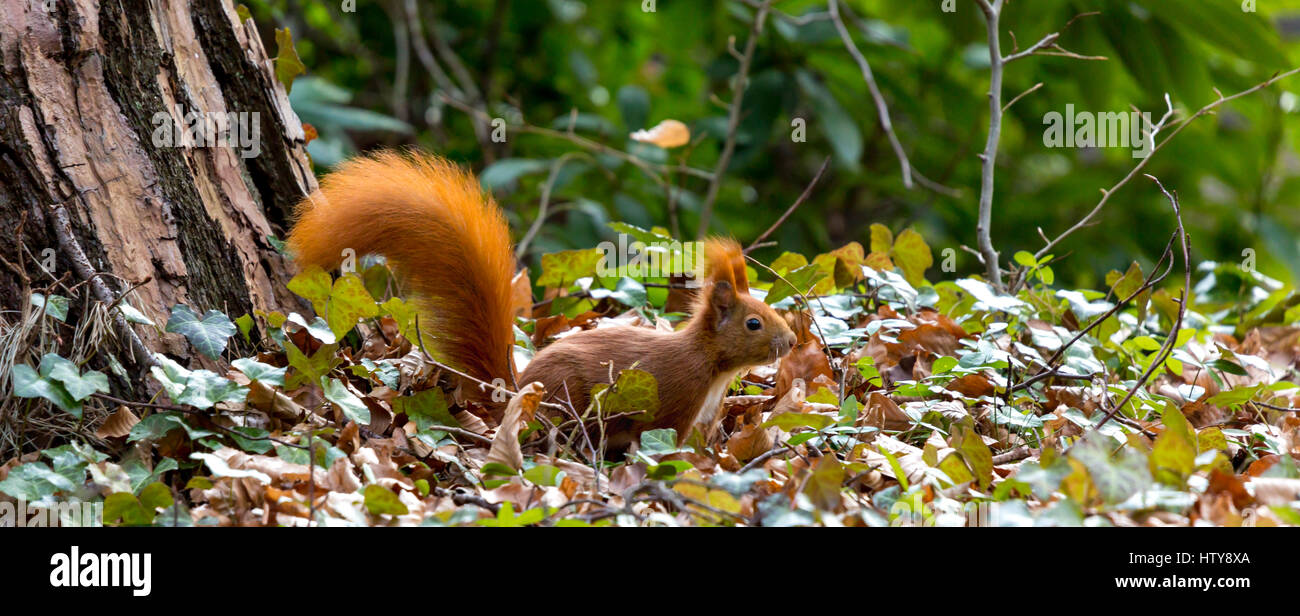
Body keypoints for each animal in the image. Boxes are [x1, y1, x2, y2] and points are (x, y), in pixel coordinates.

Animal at [289, 149, 795, 447]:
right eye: (753, 323)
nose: (791, 342)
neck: (710, 364)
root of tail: (514, 397)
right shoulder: (673, 404)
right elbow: (660, 444)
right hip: (566, 403)